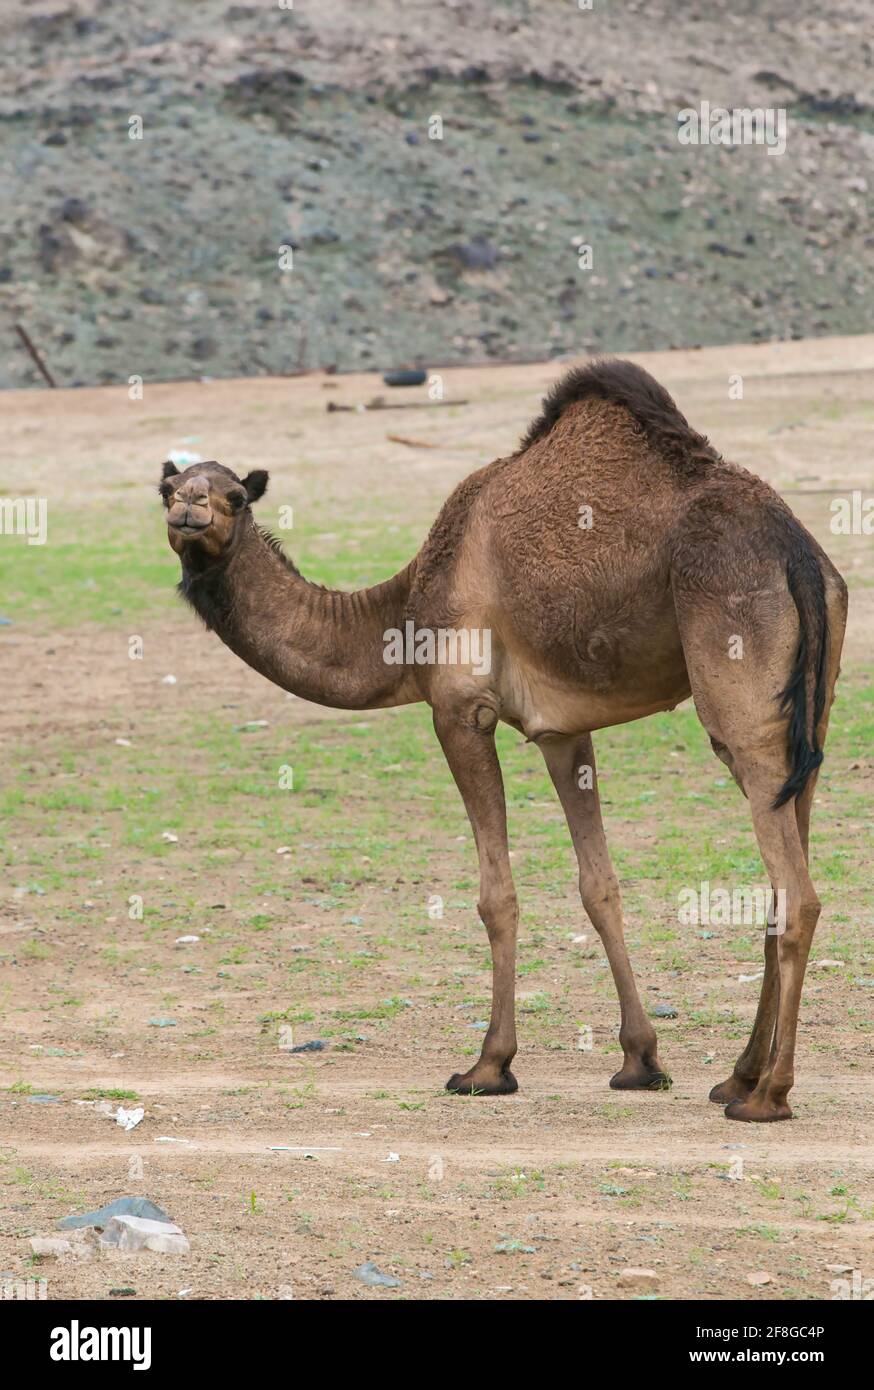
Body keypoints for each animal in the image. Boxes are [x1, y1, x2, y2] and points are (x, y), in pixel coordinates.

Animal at [160, 359, 847, 1122]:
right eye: (168, 489)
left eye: (234, 496)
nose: (189, 509)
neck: (403, 611)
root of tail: (799, 556)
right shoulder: (563, 731)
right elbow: (599, 885)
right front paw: (639, 1060)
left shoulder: (461, 708)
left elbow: (497, 895)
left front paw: (489, 1064)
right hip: (809, 719)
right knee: (786, 872)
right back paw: (738, 1076)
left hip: (741, 696)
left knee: (797, 892)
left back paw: (768, 1095)